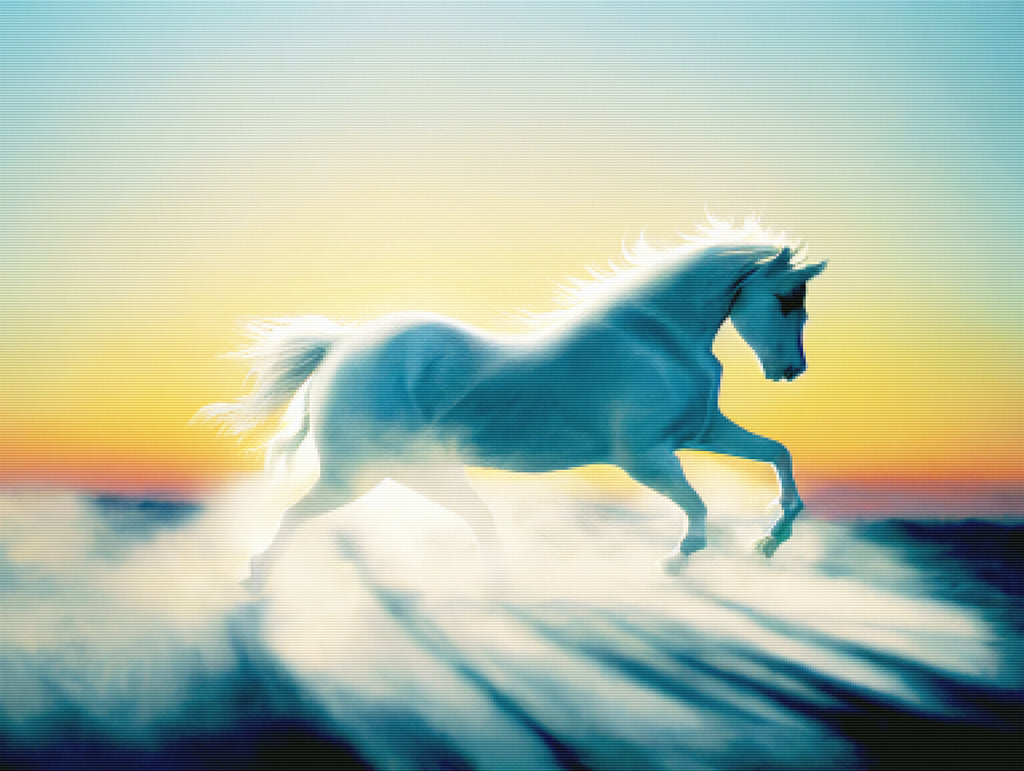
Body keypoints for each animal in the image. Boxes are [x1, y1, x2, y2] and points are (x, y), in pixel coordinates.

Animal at [197, 218, 826, 591]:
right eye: (785, 297)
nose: (791, 372)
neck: (654, 338)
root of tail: (342, 347)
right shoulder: (644, 456)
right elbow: (697, 507)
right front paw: (675, 560)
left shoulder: (701, 432)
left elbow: (779, 453)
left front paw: (771, 540)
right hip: (367, 473)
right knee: (297, 514)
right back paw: (255, 578)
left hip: (418, 471)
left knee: (477, 521)